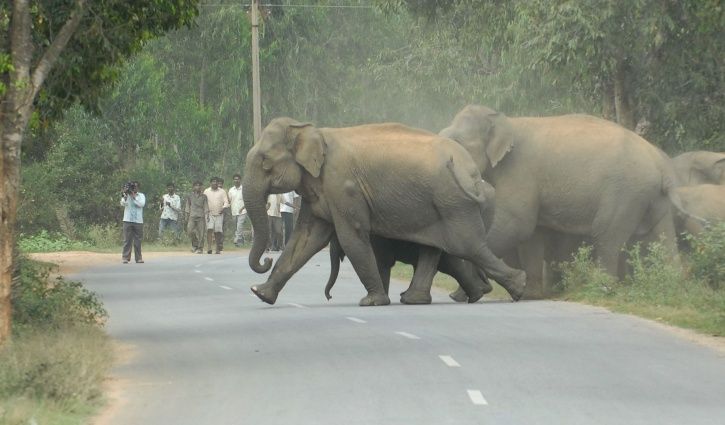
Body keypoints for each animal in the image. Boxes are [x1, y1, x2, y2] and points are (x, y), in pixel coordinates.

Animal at [439, 105, 687, 280]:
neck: (505, 120)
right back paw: (675, 284)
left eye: (458, 143)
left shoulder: (520, 171)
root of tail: (661, 163)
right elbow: (532, 234)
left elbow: (516, 225)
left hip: (626, 192)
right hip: (654, 198)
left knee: (606, 234)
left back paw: (603, 286)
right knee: (661, 236)